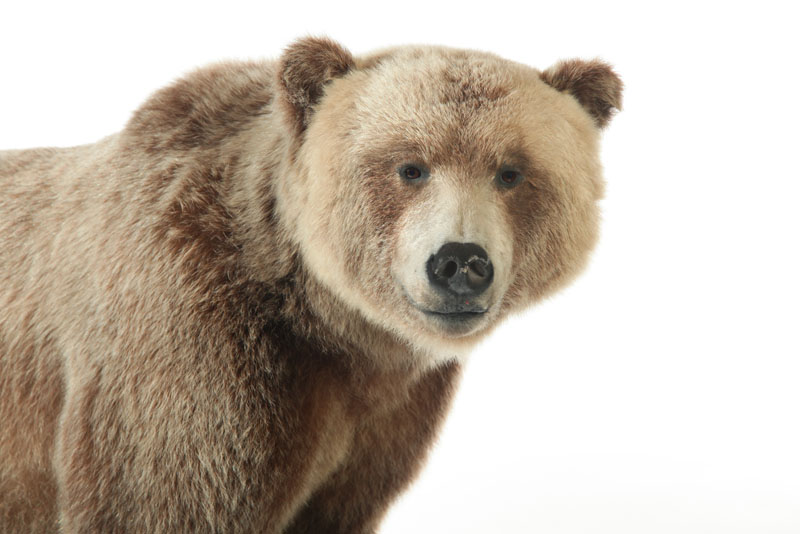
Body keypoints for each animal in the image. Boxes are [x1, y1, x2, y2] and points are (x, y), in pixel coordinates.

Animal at [0, 37, 622, 533]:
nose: (460, 261)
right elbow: (159, 497)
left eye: (511, 172)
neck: (336, 331)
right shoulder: (190, 352)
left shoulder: (383, 427)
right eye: (410, 167)